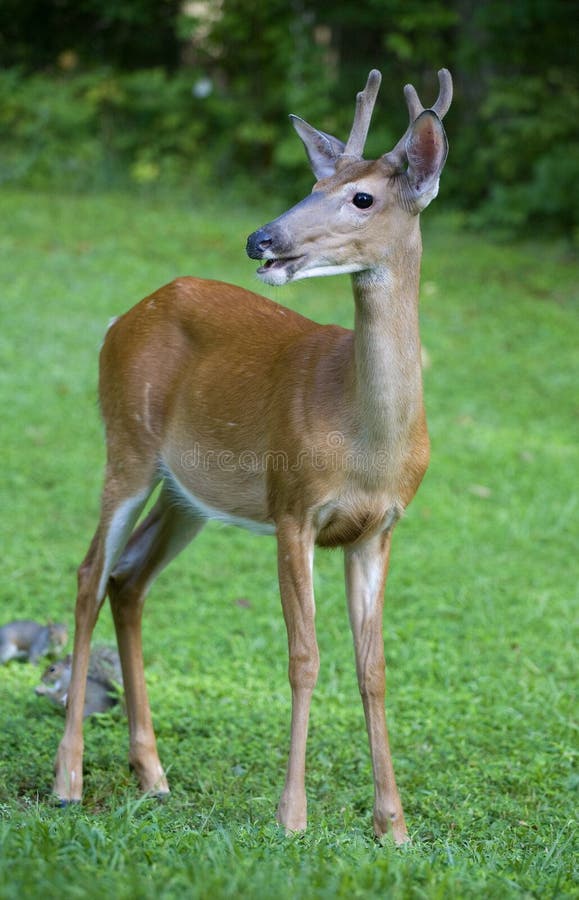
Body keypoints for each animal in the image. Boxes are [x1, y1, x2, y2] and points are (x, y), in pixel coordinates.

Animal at [53, 66, 452, 845]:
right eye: (312, 182)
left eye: (361, 196)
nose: (259, 239)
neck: (367, 441)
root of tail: (123, 318)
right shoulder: (293, 505)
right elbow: (305, 657)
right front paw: (291, 817)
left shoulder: (379, 527)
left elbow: (373, 667)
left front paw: (392, 825)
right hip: (126, 444)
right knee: (88, 575)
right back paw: (68, 781)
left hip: (188, 492)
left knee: (127, 578)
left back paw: (153, 776)